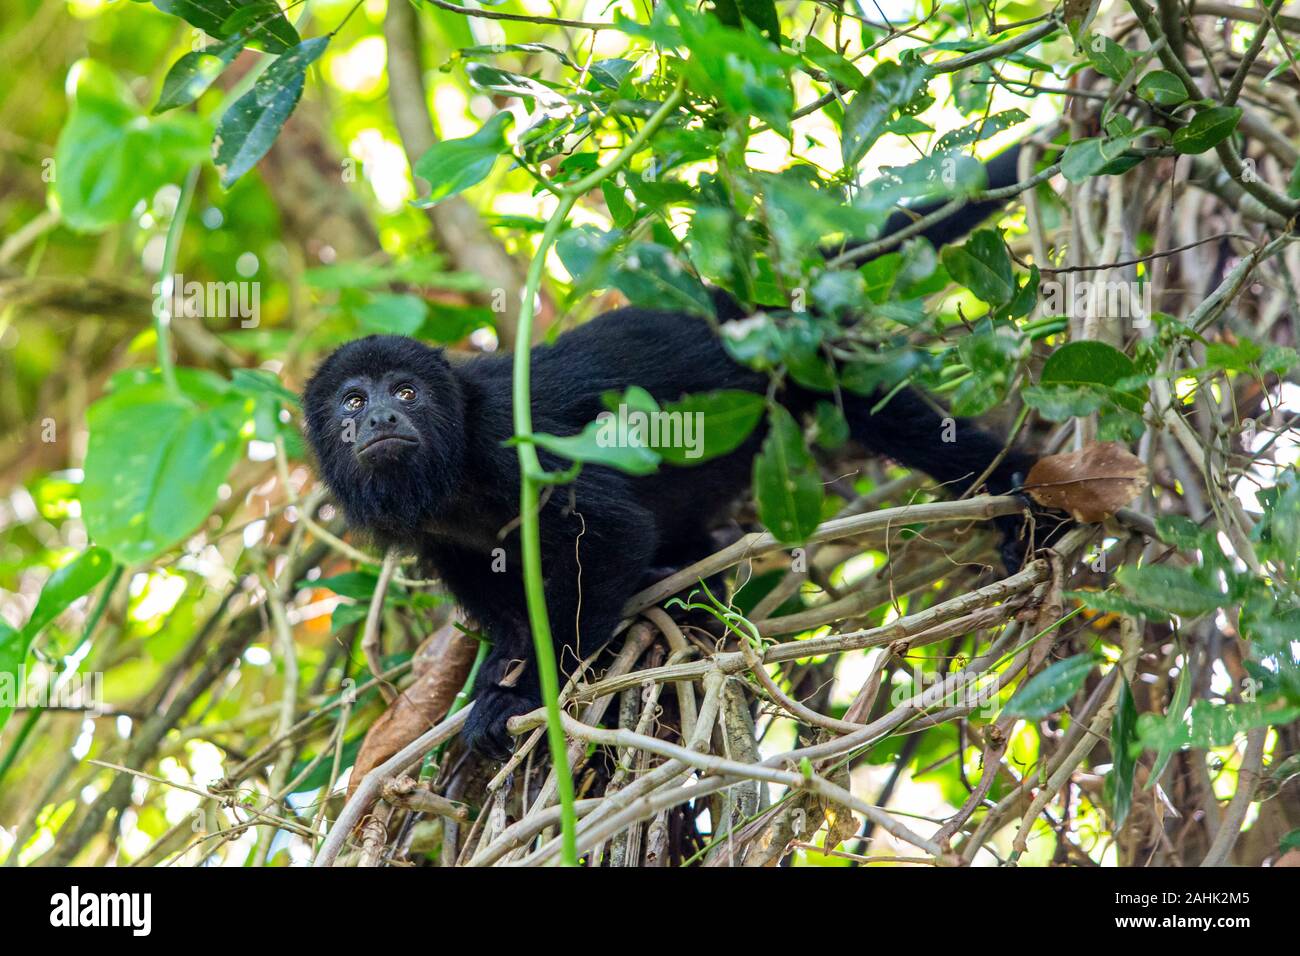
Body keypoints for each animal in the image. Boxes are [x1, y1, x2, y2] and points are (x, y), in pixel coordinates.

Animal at [303, 143, 1053, 759]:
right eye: (351, 401)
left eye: (405, 392)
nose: (378, 417)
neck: (453, 478)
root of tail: (752, 303)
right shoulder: (439, 538)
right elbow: (507, 604)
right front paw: (500, 670)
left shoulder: (507, 445)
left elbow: (610, 537)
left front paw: (528, 693)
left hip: (809, 354)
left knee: (898, 422)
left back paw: (1025, 503)